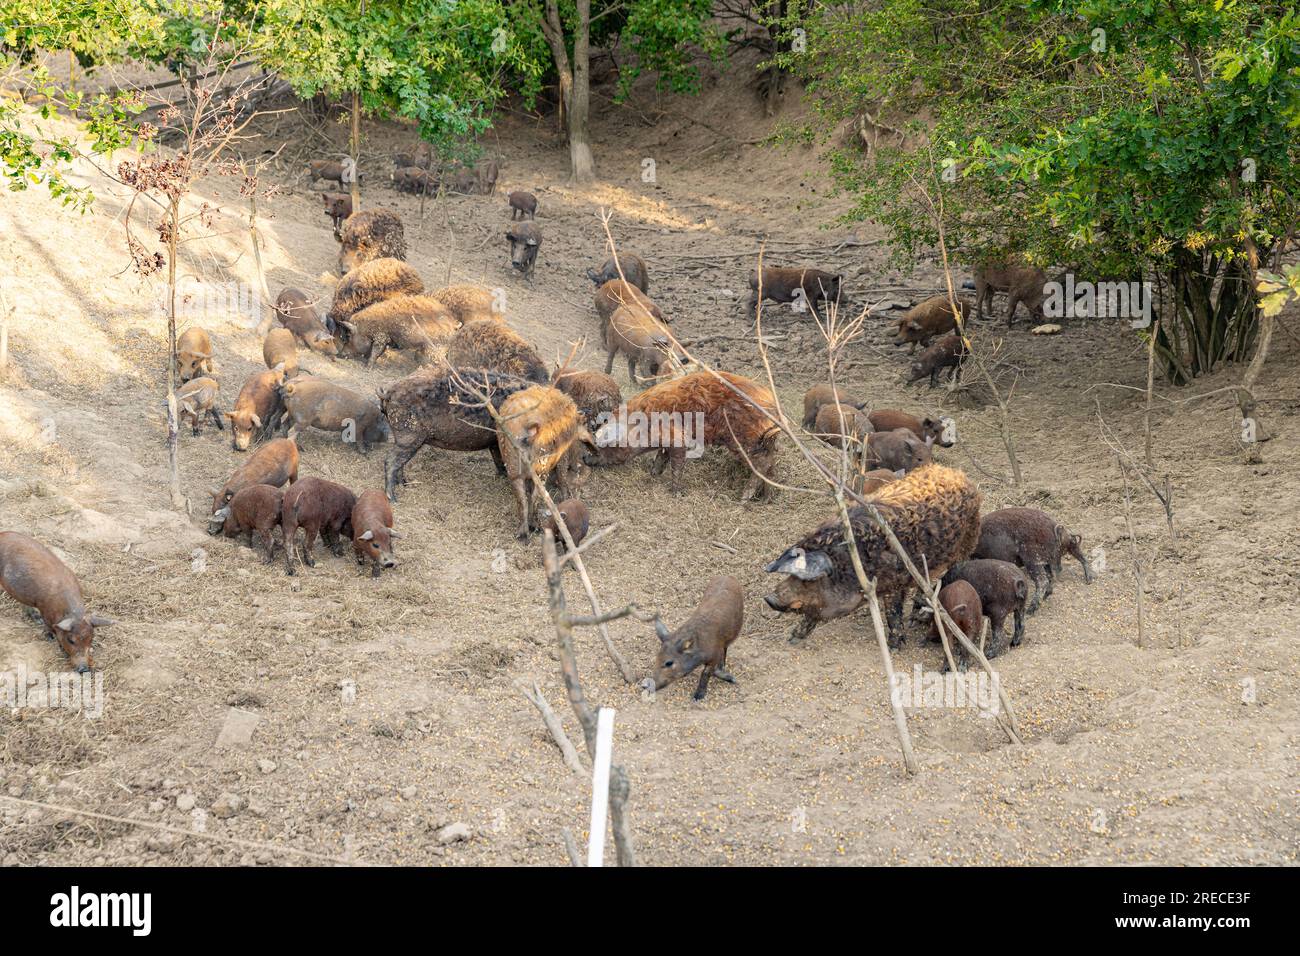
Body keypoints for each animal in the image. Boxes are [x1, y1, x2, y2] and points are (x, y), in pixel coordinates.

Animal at [0, 531, 115, 673]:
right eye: (71, 640)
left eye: (91, 639)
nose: (84, 669)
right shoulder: (45, 610)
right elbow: (49, 627)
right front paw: (49, 638)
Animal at [380, 368, 534, 500]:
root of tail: (388, 393)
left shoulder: (495, 442)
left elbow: (500, 461)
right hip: (409, 436)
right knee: (390, 460)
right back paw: (393, 498)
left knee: (399, 462)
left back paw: (404, 484)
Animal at [495, 386, 592, 540]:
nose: (585, 456)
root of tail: (527, 424)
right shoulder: (562, 454)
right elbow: (562, 477)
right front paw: (565, 498)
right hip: (541, 466)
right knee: (536, 495)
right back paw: (535, 526)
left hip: (512, 466)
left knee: (522, 499)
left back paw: (523, 534)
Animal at [587, 371, 781, 501]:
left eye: (603, 446)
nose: (585, 458)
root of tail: (772, 405)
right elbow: (662, 455)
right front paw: (654, 474)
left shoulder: (677, 436)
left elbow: (676, 462)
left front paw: (676, 492)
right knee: (771, 464)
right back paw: (766, 499)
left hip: (745, 439)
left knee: (762, 465)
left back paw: (743, 498)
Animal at [764, 464, 981, 646]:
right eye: (791, 574)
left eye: (808, 581)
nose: (769, 598)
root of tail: (959, 474)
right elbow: (812, 614)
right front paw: (792, 639)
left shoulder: (896, 580)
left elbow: (892, 611)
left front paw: (895, 645)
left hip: (968, 539)